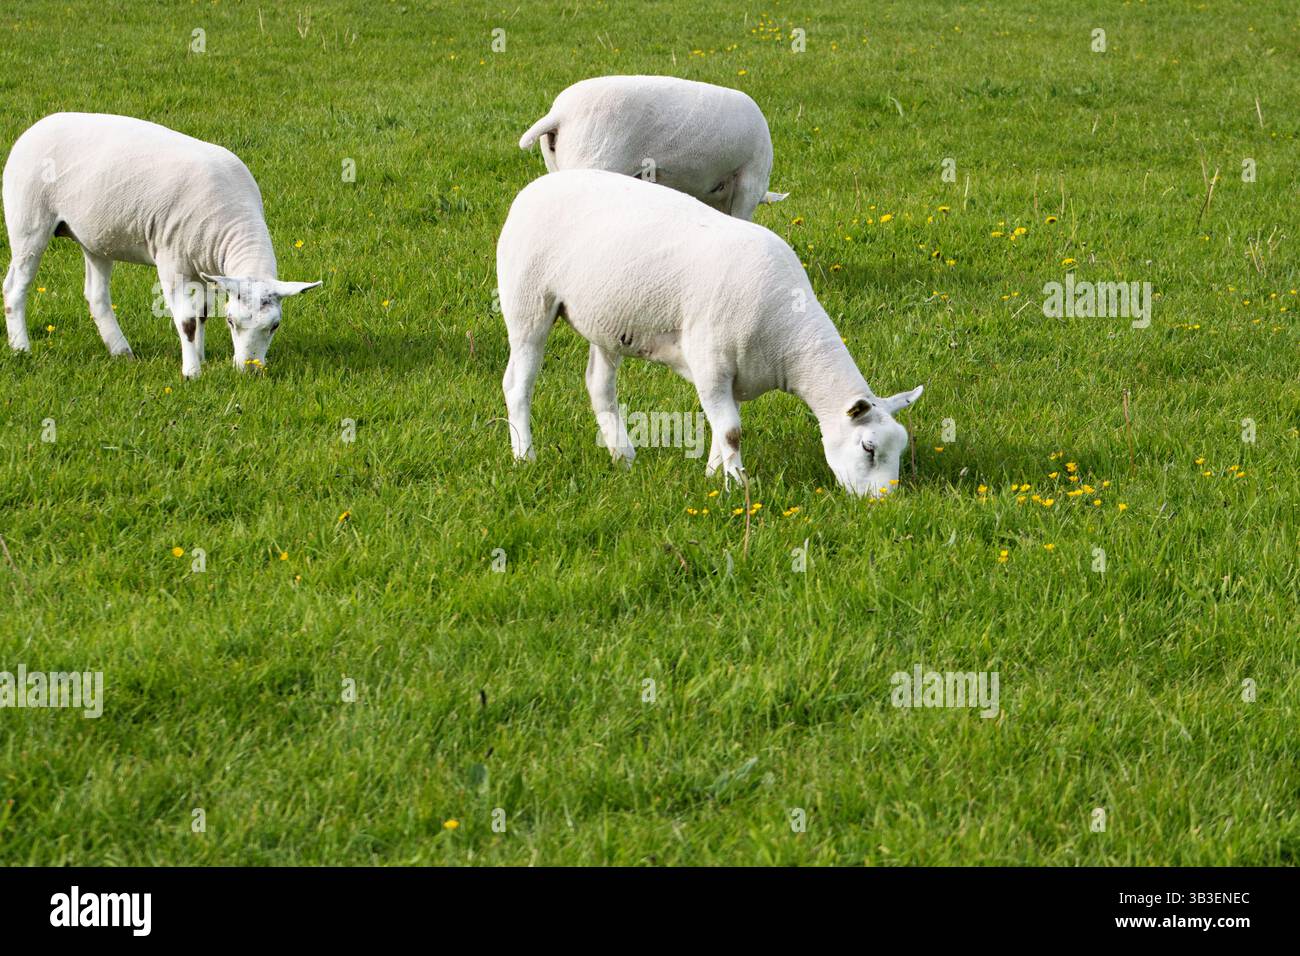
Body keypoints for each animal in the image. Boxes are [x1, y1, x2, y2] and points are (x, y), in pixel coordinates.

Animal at [3, 112, 320, 378]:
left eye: (275, 325)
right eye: (231, 322)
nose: (249, 370)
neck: (234, 219)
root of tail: (37, 125)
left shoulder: (203, 266)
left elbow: (203, 313)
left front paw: (200, 358)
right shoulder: (172, 262)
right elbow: (188, 321)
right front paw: (192, 373)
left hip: (95, 236)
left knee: (96, 294)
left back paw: (122, 352)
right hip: (28, 220)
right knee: (15, 287)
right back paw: (21, 348)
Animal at [497, 170, 924, 497]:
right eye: (868, 448)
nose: (882, 503)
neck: (789, 340)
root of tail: (535, 187)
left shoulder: (734, 376)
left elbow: (722, 429)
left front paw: (714, 475)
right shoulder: (711, 363)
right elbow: (732, 431)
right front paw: (736, 483)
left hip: (605, 318)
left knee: (599, 386)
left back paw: (624, 457)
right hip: (528, 301)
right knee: (518, 383)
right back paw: (524, 456)